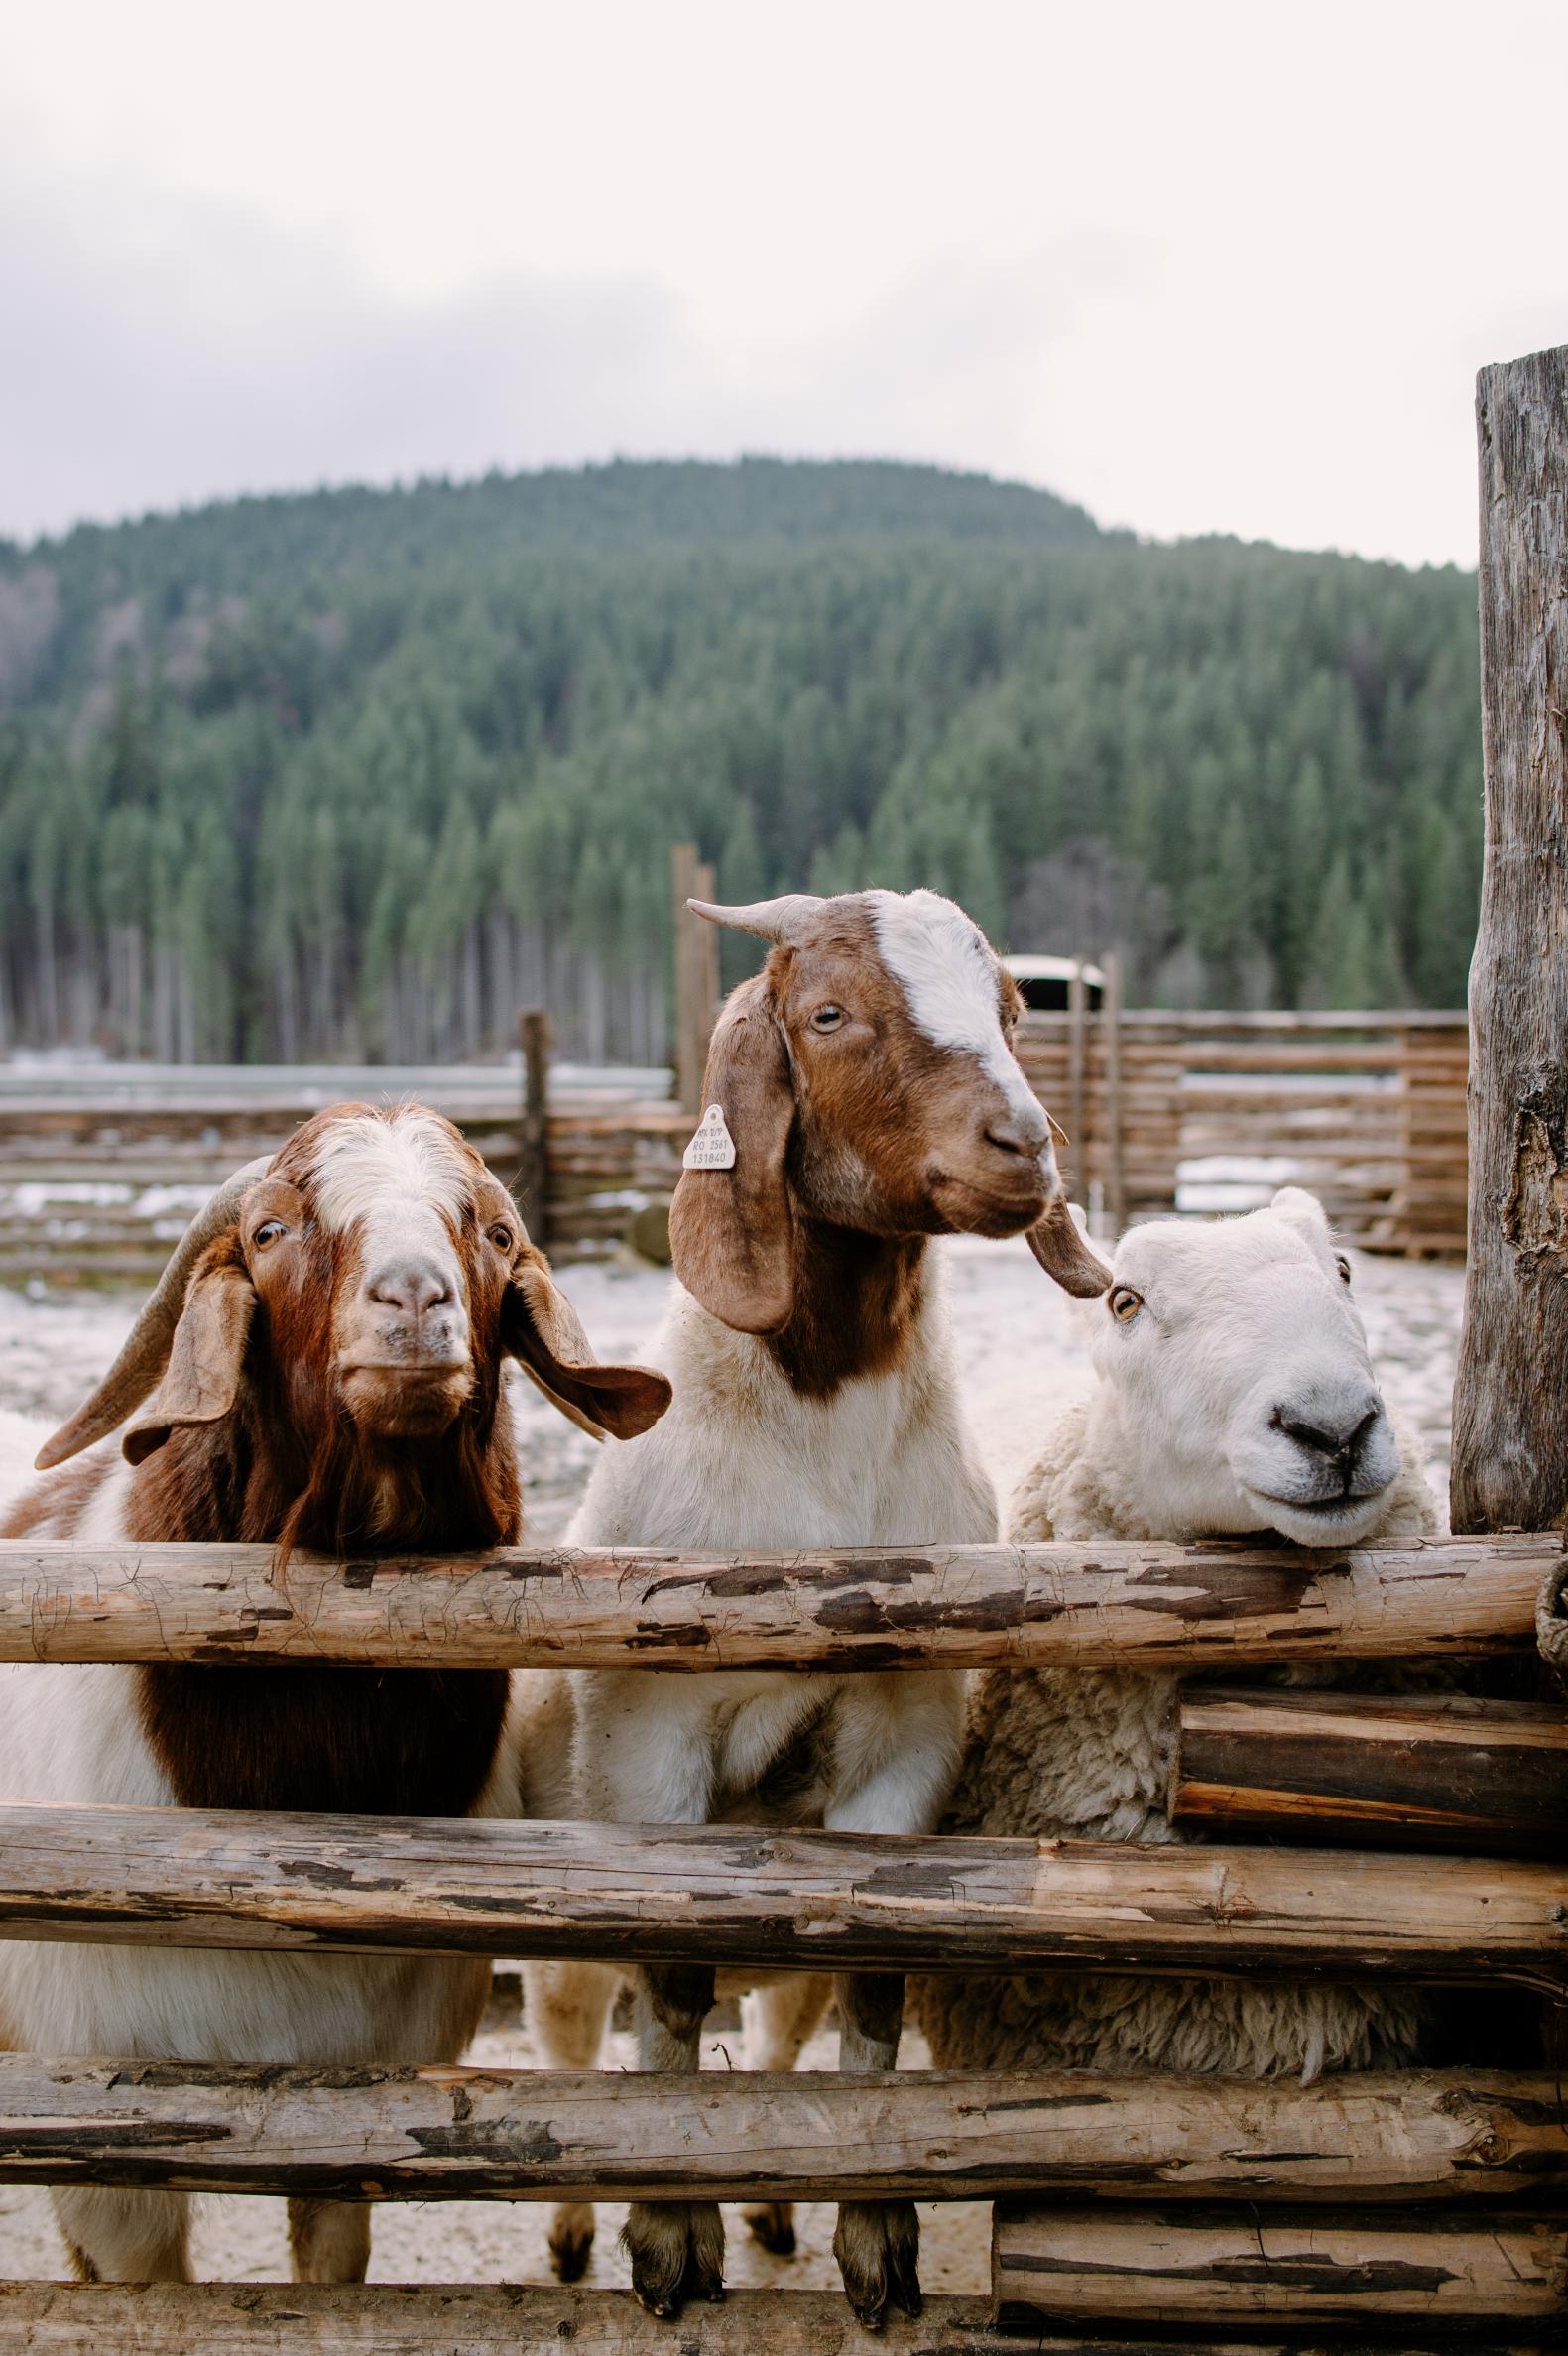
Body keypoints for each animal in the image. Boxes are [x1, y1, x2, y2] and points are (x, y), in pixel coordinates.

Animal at [521, 888, 1106, 2328]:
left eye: (1013, 1008)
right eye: (830, 1011)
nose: (1025, 1143)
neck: (816, 1469)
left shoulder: (904, 1737)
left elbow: (873, 1982)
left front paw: (876, 2241)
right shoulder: (648, 1750)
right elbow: (670, 1987)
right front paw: (669, 2243)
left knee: (780, 2020)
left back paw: (779, 2206)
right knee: (571, 2028)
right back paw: (571, 2228)